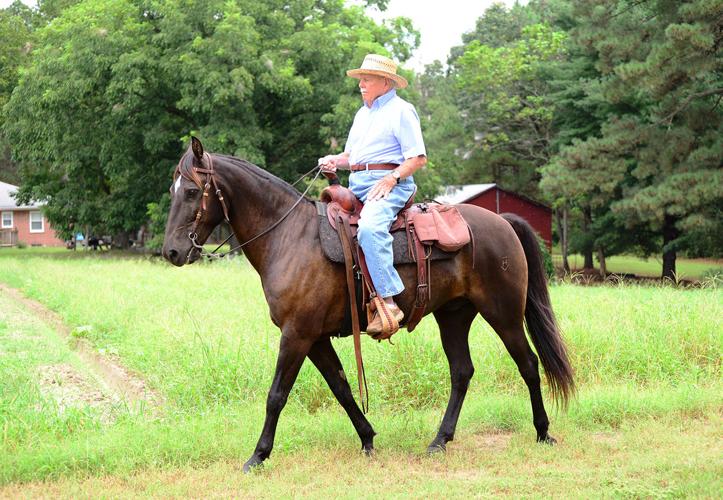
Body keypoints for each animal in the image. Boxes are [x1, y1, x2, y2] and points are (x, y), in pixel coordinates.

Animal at [162, 137, 574, 472]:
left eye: (192, 191)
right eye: (173, 189)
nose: (172, 252)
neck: (289, 236)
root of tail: (502, 222)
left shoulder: (297, 334)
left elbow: (276, 395)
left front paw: (258, 455)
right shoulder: (315, 338)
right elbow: (341, 387)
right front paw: (367, 438)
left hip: (504, 315)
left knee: (529, 364)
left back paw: (543, 432)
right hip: (453, 316)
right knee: (462, 372)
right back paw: (440, 440)